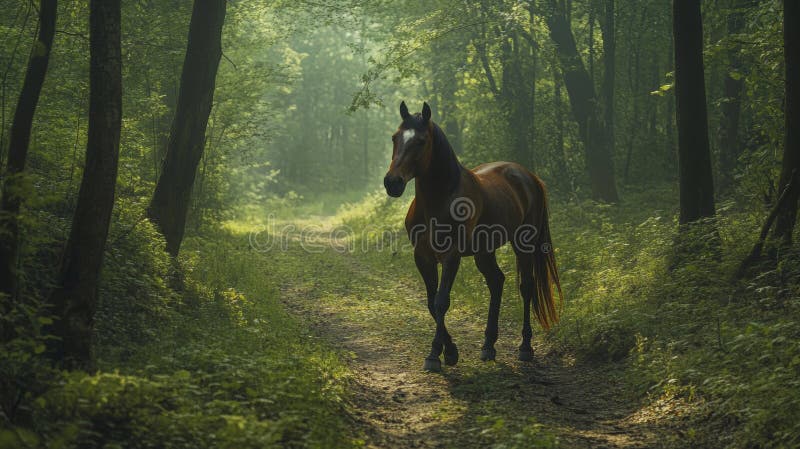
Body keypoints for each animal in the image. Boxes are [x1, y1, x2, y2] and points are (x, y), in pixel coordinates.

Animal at [383, 101, 563, 372]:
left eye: (421, 141)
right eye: (395, 137)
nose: (392, 183)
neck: (440, 200)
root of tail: (529, 176)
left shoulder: (451, 255)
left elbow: (441, 301)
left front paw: (434, 355)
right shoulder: (422, 256)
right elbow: (431, 303)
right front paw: (450, 351)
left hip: (524, 244)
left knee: (526, 287)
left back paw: (525, 347)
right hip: (484, 251)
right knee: (497, 281)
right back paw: (488, 345)